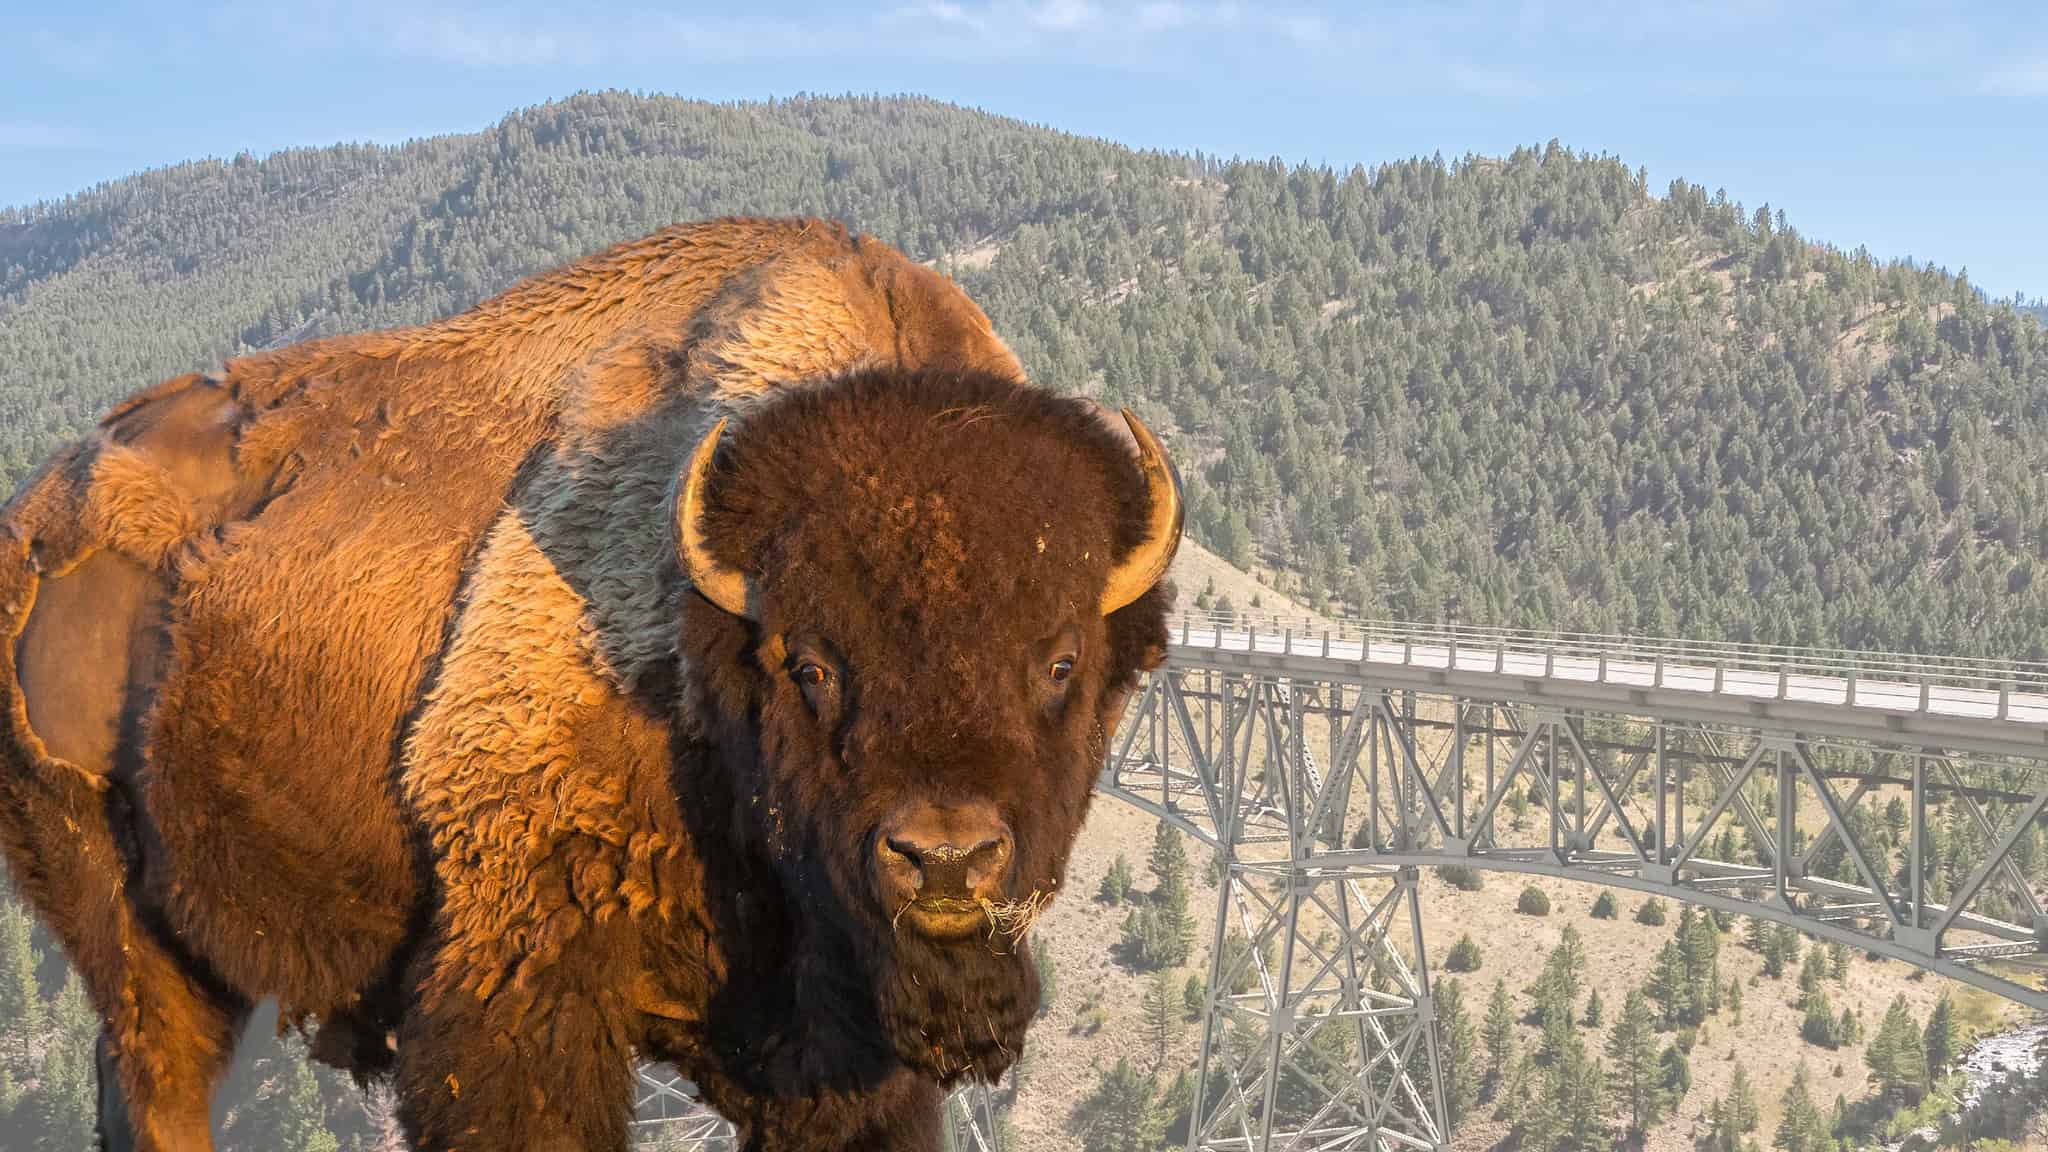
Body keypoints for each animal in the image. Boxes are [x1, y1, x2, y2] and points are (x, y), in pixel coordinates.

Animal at [0, 217, 1180, 1150]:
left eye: (1060, 661)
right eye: (808, 663)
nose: (944, 861)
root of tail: (44, 501)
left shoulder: (833, 1065)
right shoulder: (522, 993)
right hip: (114, 908)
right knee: (157, 1074)